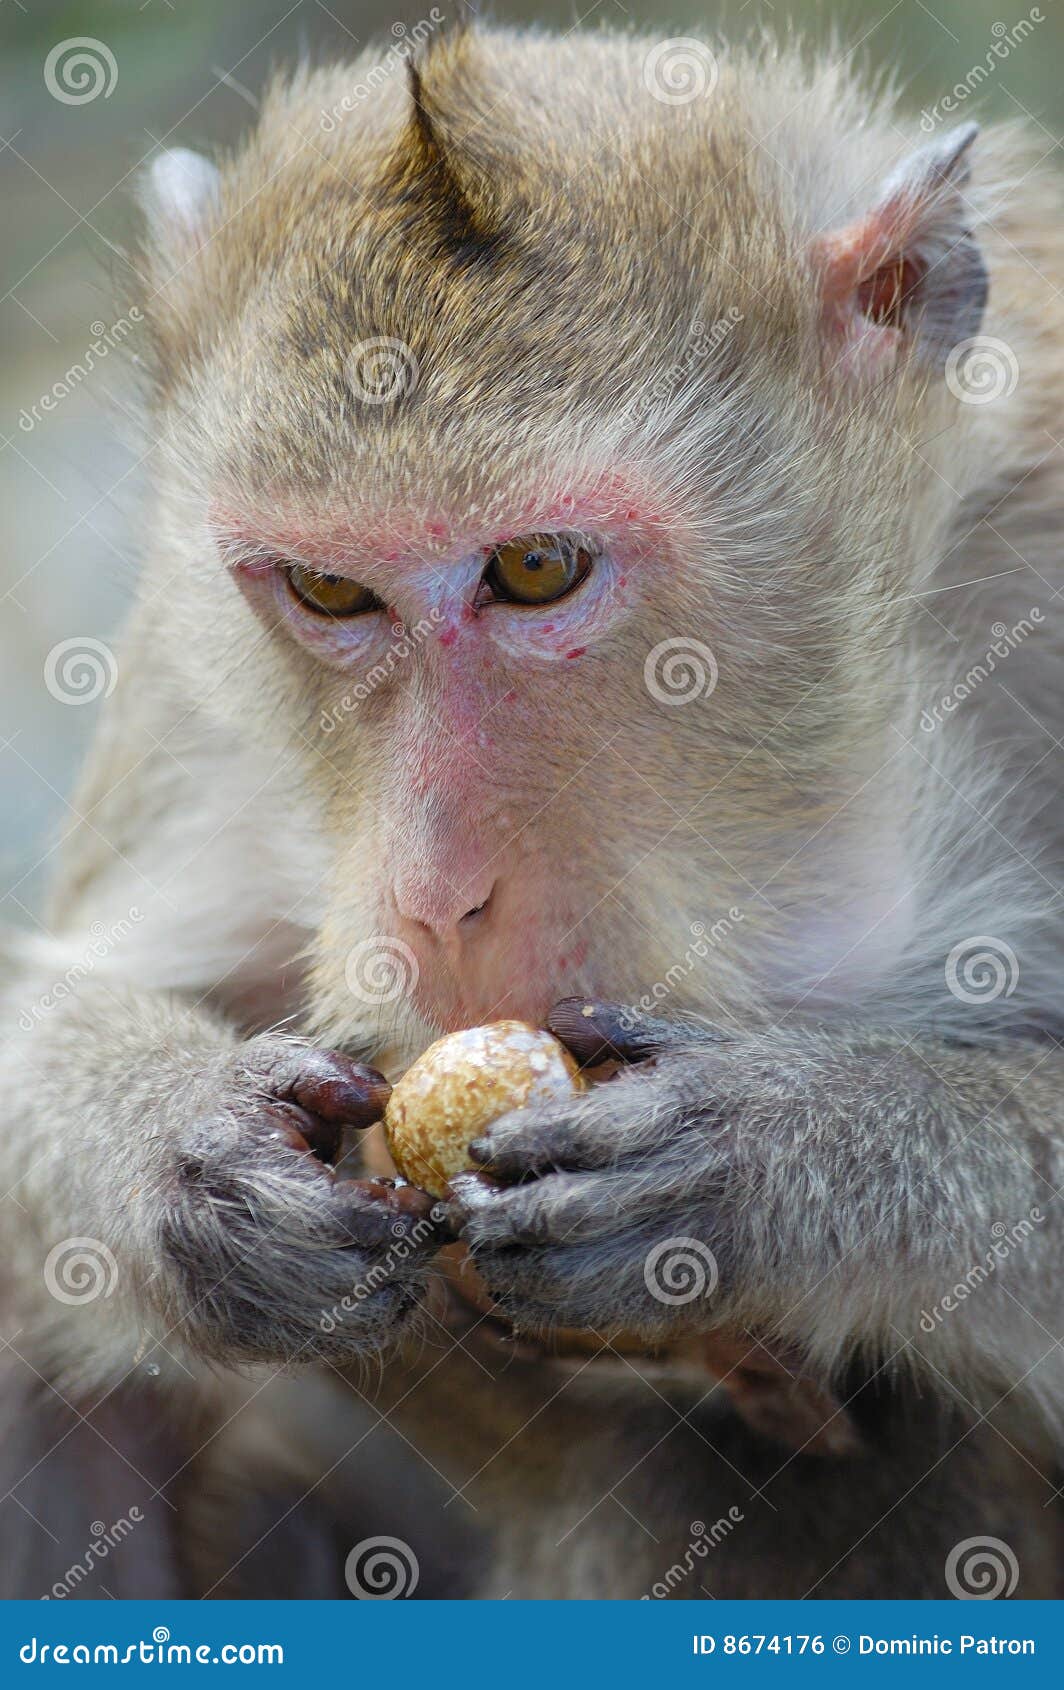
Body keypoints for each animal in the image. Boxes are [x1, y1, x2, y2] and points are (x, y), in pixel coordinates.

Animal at [2, 21, 1063, 1600]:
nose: (435, 897)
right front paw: (185, 1155)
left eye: (539, 568)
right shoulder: (187, 684)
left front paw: (785, 1161)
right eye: (327, 589)